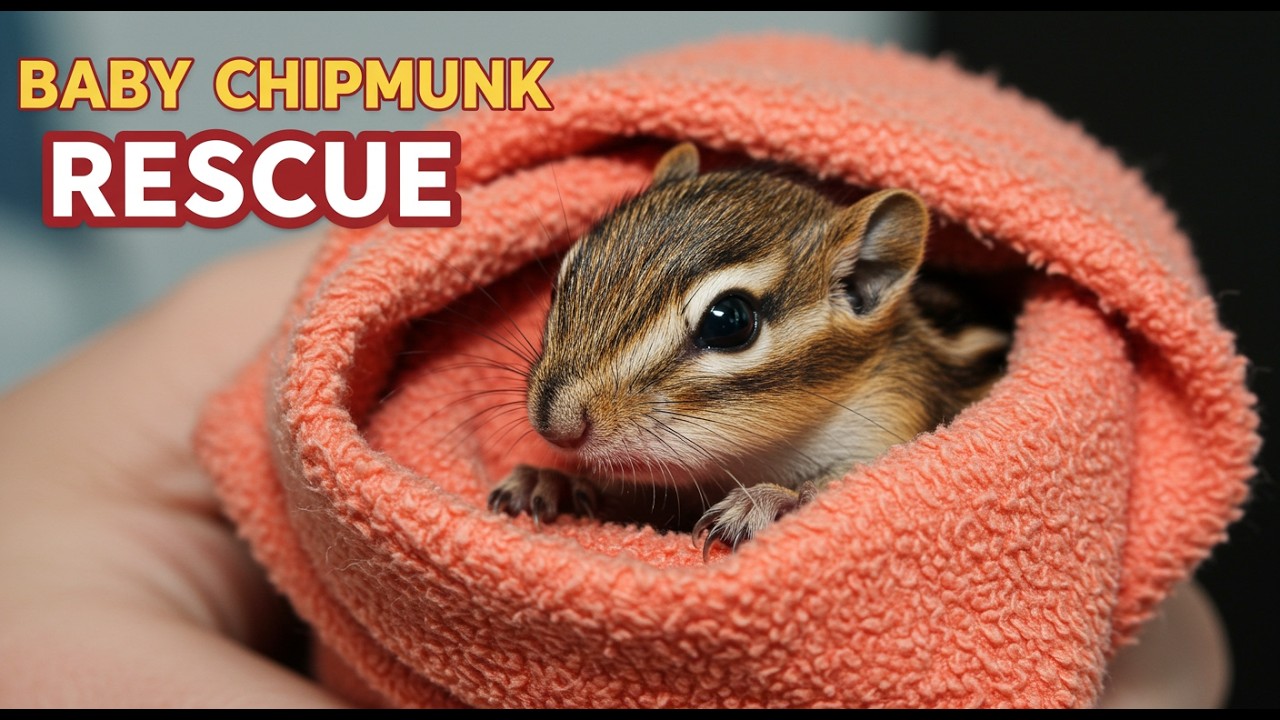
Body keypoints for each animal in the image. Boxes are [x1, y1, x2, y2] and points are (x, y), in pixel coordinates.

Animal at [488, 142, 1012, 559]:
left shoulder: (896, 423)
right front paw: (553, 481)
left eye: (729, 321)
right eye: (562, 279)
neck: (753, 457)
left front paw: (774, 501)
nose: (555, 425)